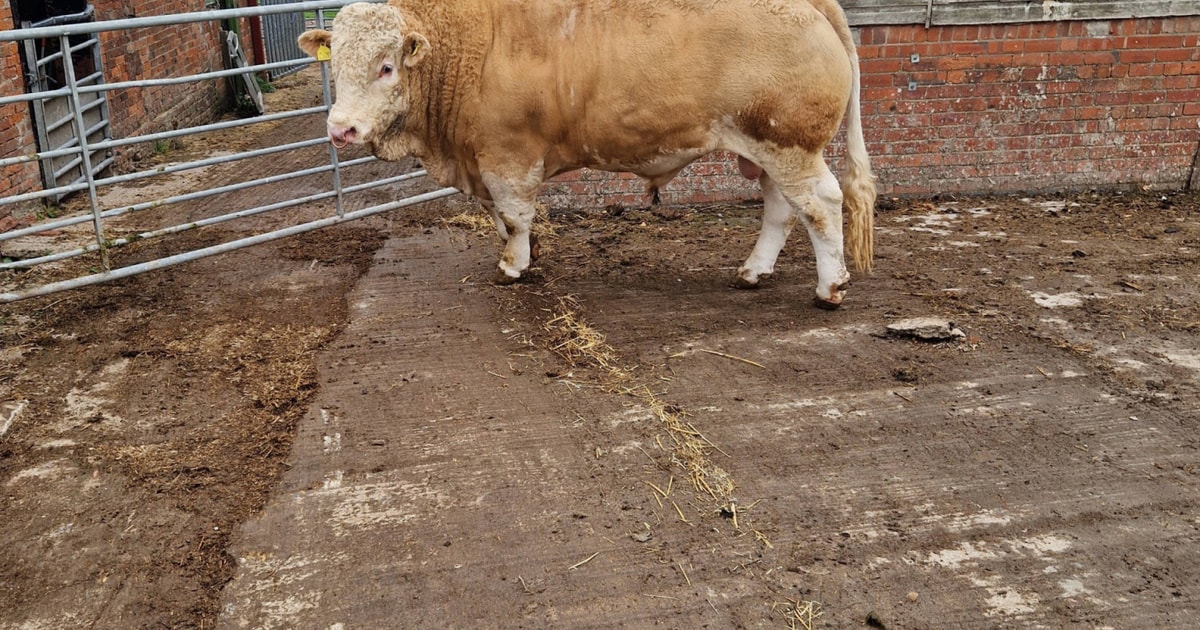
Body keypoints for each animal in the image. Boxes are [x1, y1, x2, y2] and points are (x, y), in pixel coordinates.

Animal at [299, 0, 876, 308]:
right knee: (781, 210)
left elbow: (514, 217)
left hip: (790, 146)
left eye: (386, 66)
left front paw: (514, 266)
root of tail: (809, 5)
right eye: (336, 64)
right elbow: (502, 218)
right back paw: (754, 271)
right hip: (770, 150)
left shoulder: (509, 157)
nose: (340, 129)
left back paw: (830, 287)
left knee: (822, 206)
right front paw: (521, 254)